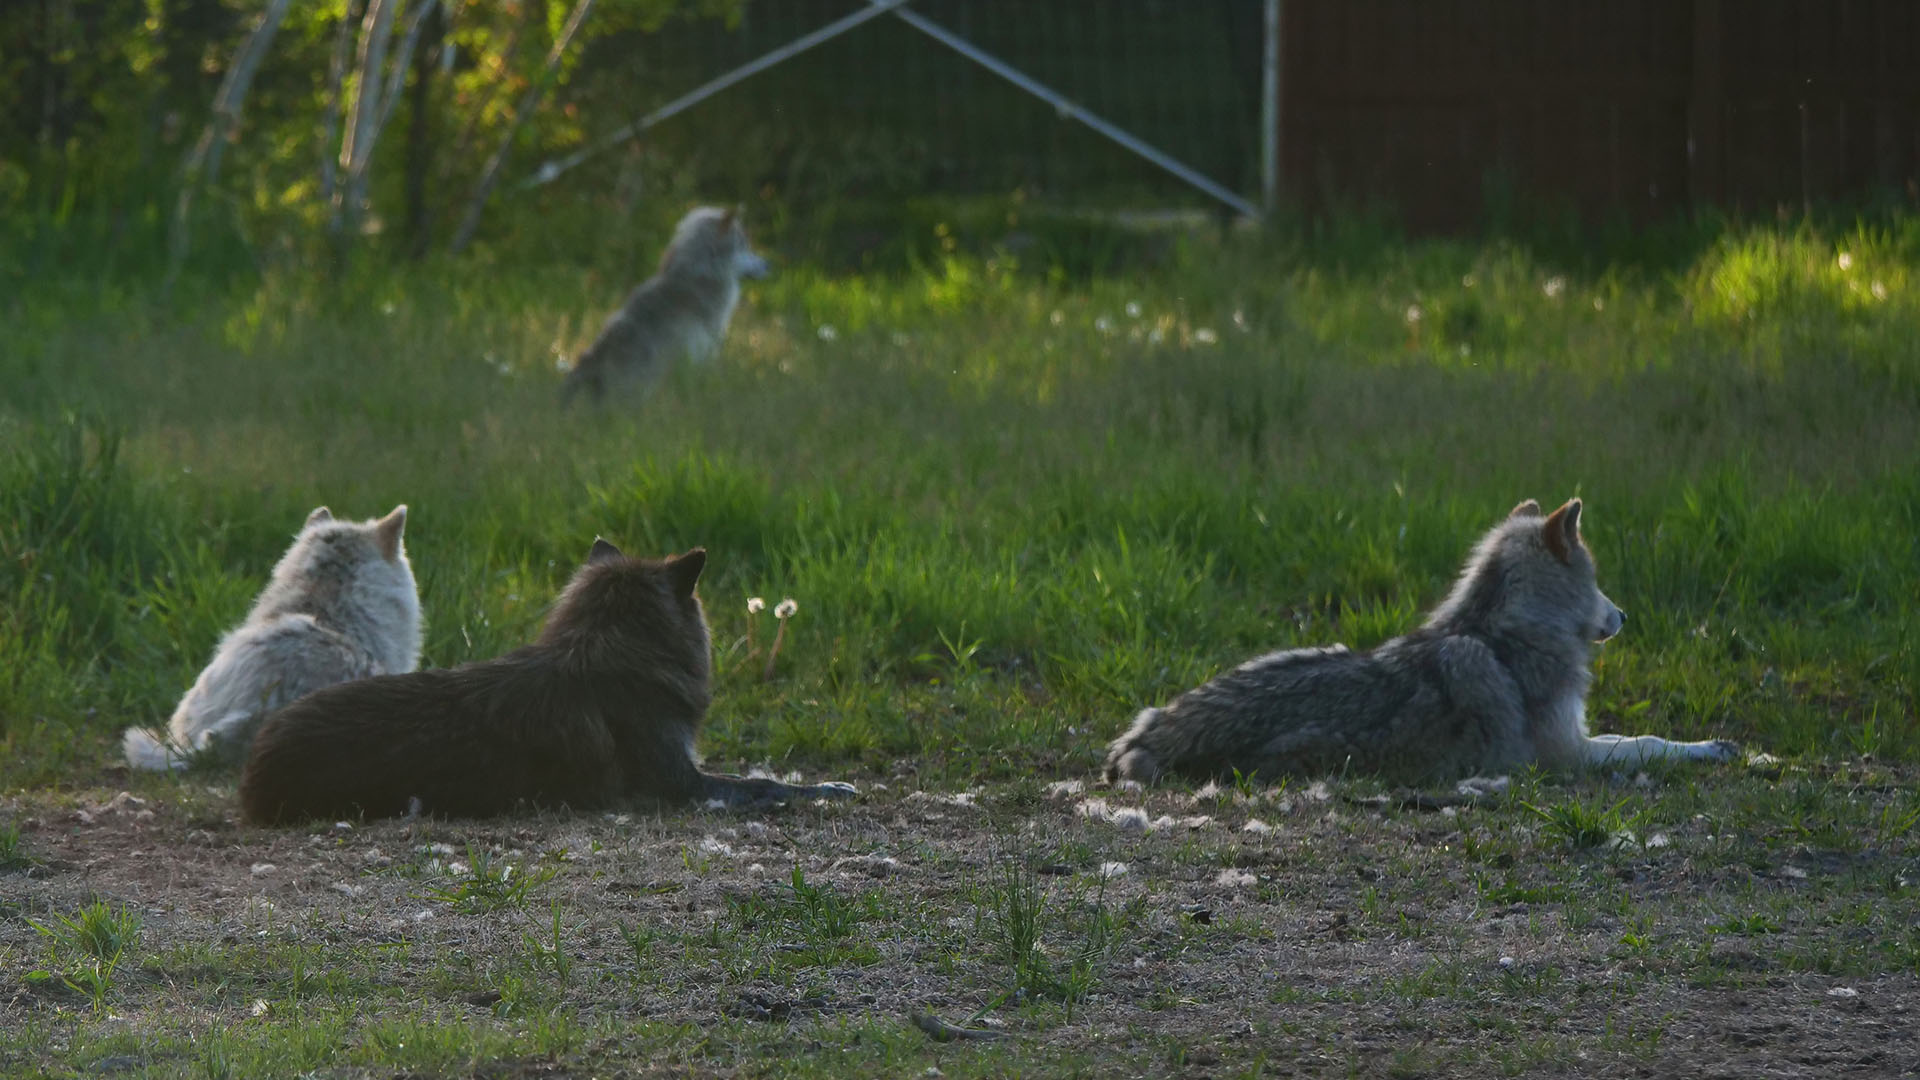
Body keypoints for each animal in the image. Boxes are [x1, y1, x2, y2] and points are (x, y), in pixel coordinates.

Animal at [1104, 499, 1740, 786]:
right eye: (1598, 579)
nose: (1624, 614)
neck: (1499, 635)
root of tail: (1144, 737)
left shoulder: (1579, 738)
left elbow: (1635, 736)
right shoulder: (1568, 754)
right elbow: (1647, 742)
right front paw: (1709, 749)